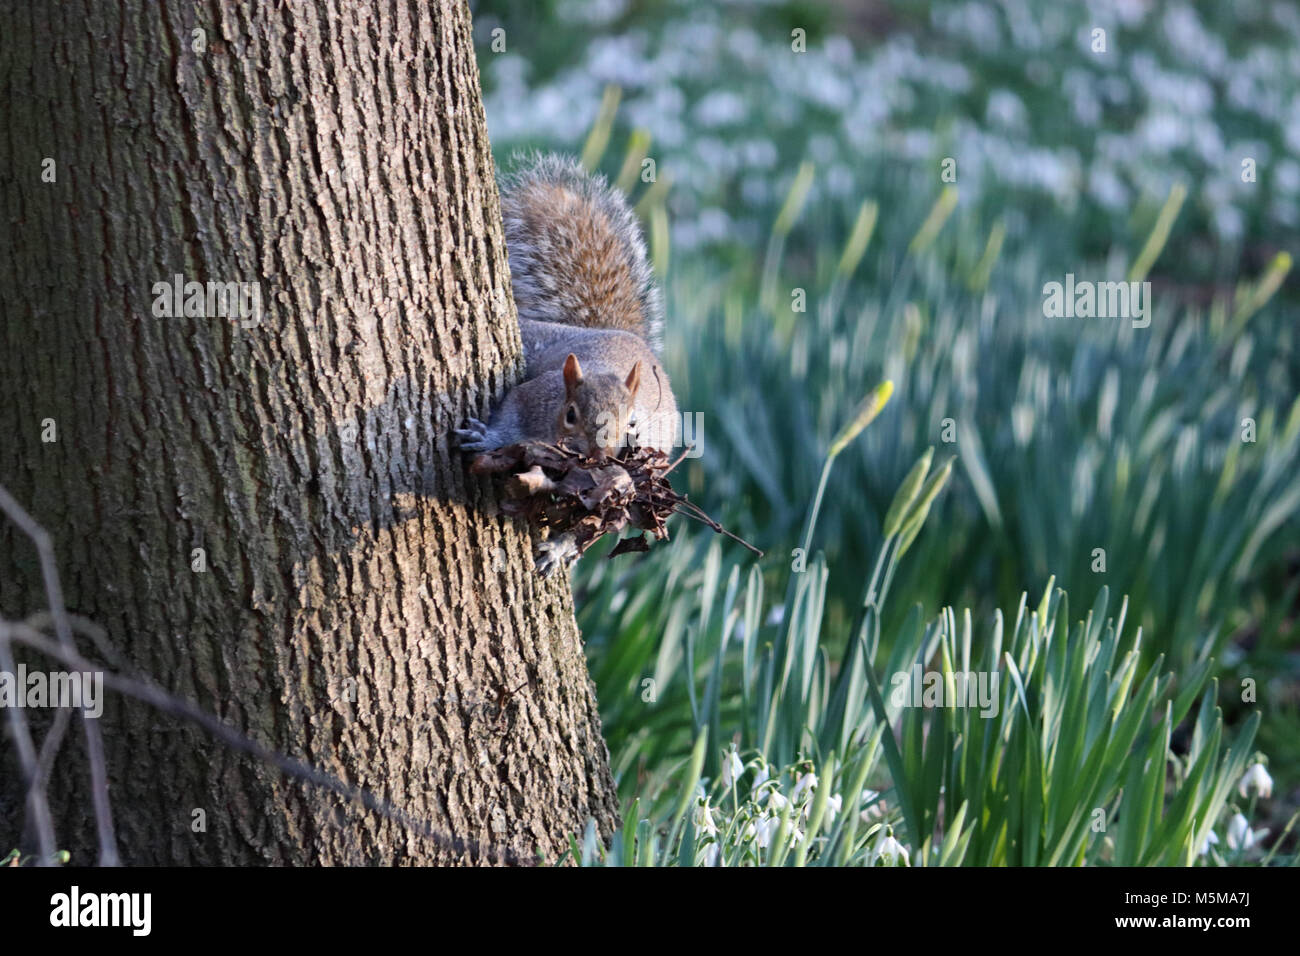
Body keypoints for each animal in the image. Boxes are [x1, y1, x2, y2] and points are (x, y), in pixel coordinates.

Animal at [456, 153, 679, 574]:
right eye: (571, 414)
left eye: (631, 424)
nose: (598, 457)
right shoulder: (533, 397)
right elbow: (510, 414)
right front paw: (485, 437)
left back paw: (560, 548)